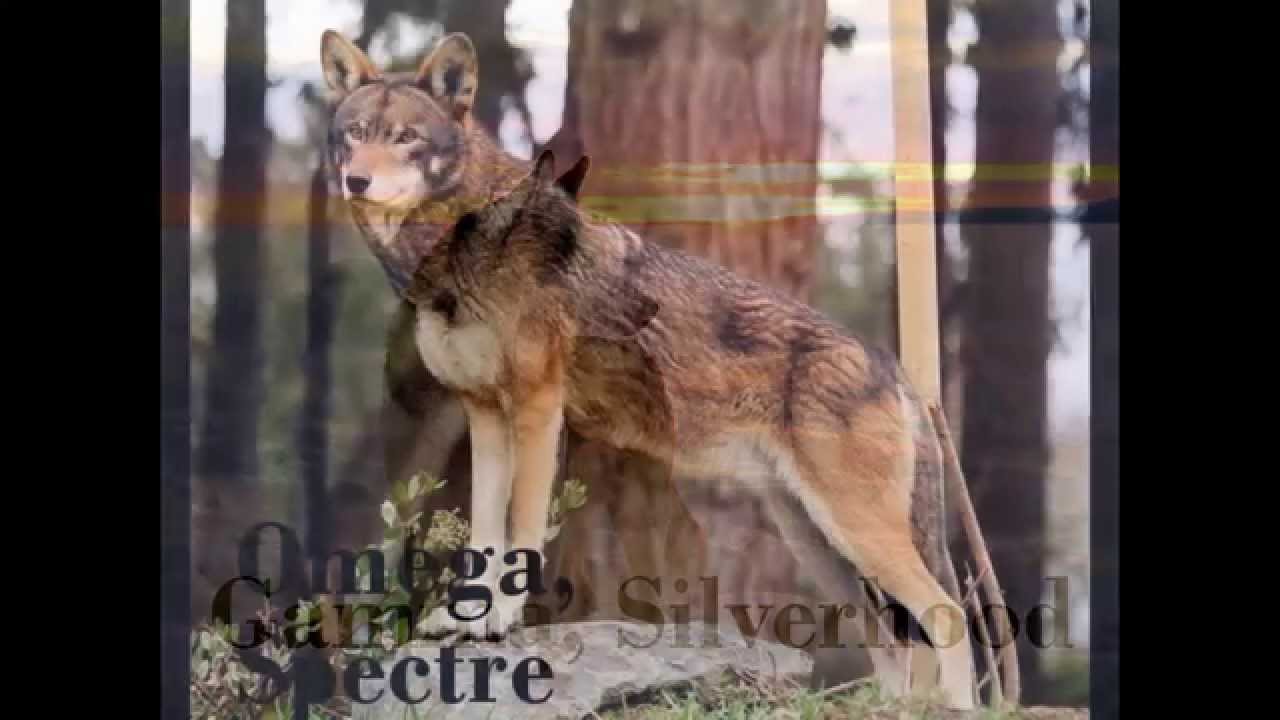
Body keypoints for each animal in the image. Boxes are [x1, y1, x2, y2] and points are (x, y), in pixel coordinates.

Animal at [400, 150, 977, 710]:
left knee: (947, 612)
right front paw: (461, 621)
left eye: (606, 256)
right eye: (582, 259)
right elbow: (485, 536)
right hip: (819, 545)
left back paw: (959, 706)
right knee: (891, 638)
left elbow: (520, 536)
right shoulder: (486, 419)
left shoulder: (537, 413)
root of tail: (887, 362)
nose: (649, 308)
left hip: (856, 535)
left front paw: (500, 619)